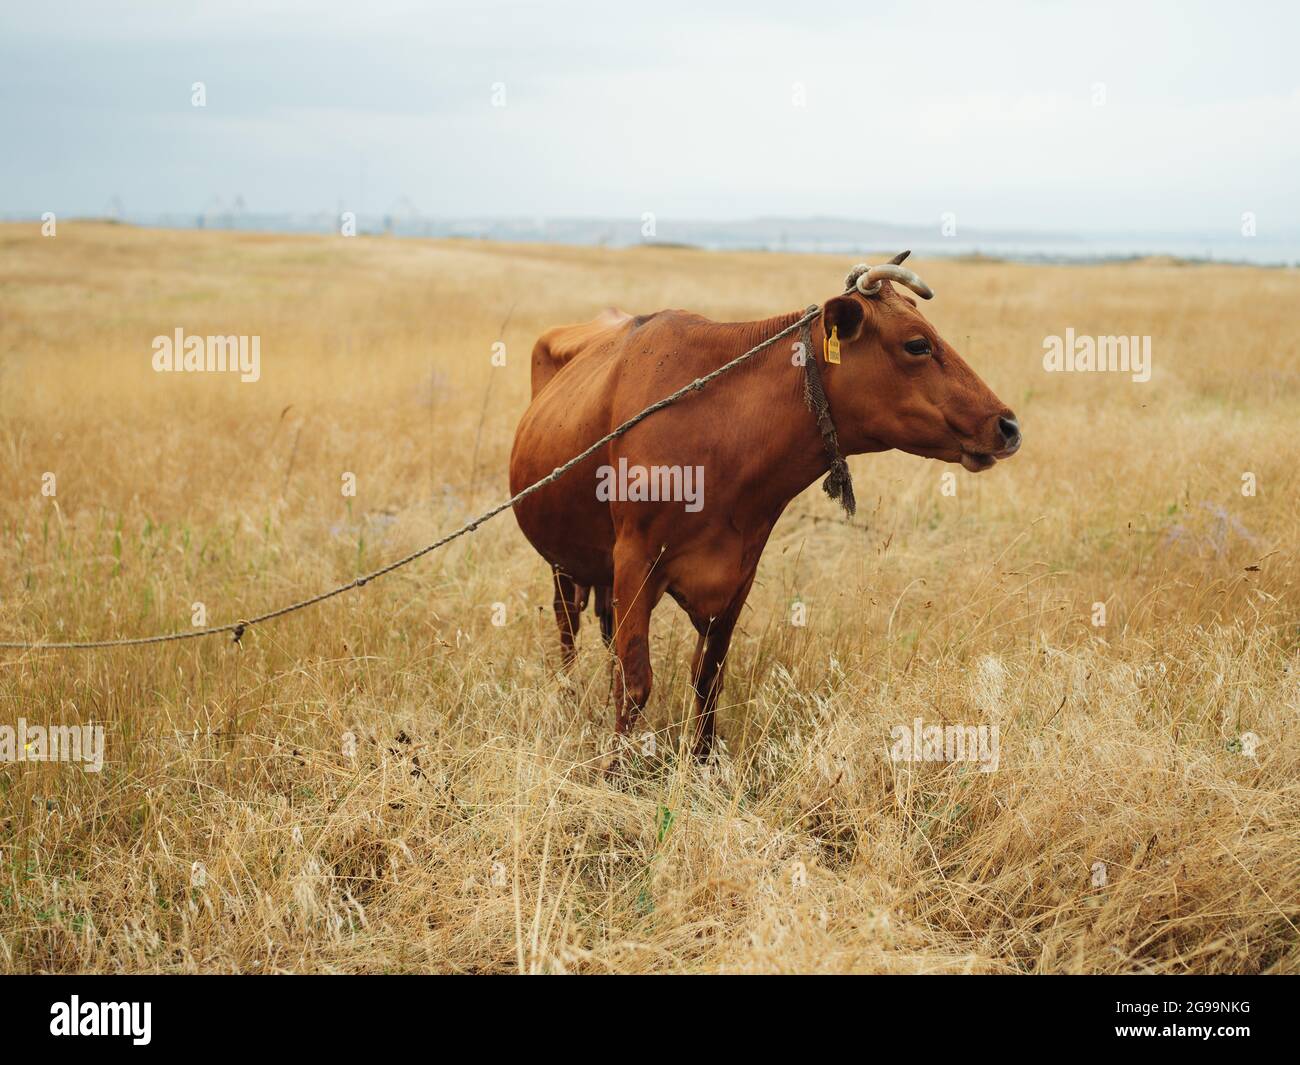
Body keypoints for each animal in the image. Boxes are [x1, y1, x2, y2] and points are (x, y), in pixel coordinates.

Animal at [509, 254, 1020, 768]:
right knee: (567, 624)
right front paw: (615, 771)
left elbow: (707, 677)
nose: (1008, 425)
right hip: (562, 562)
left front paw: (704, 762)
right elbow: (634, 681)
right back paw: (569, 697)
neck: (716, 433)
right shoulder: (635, 561)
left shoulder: (738, 574)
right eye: (917, 343)